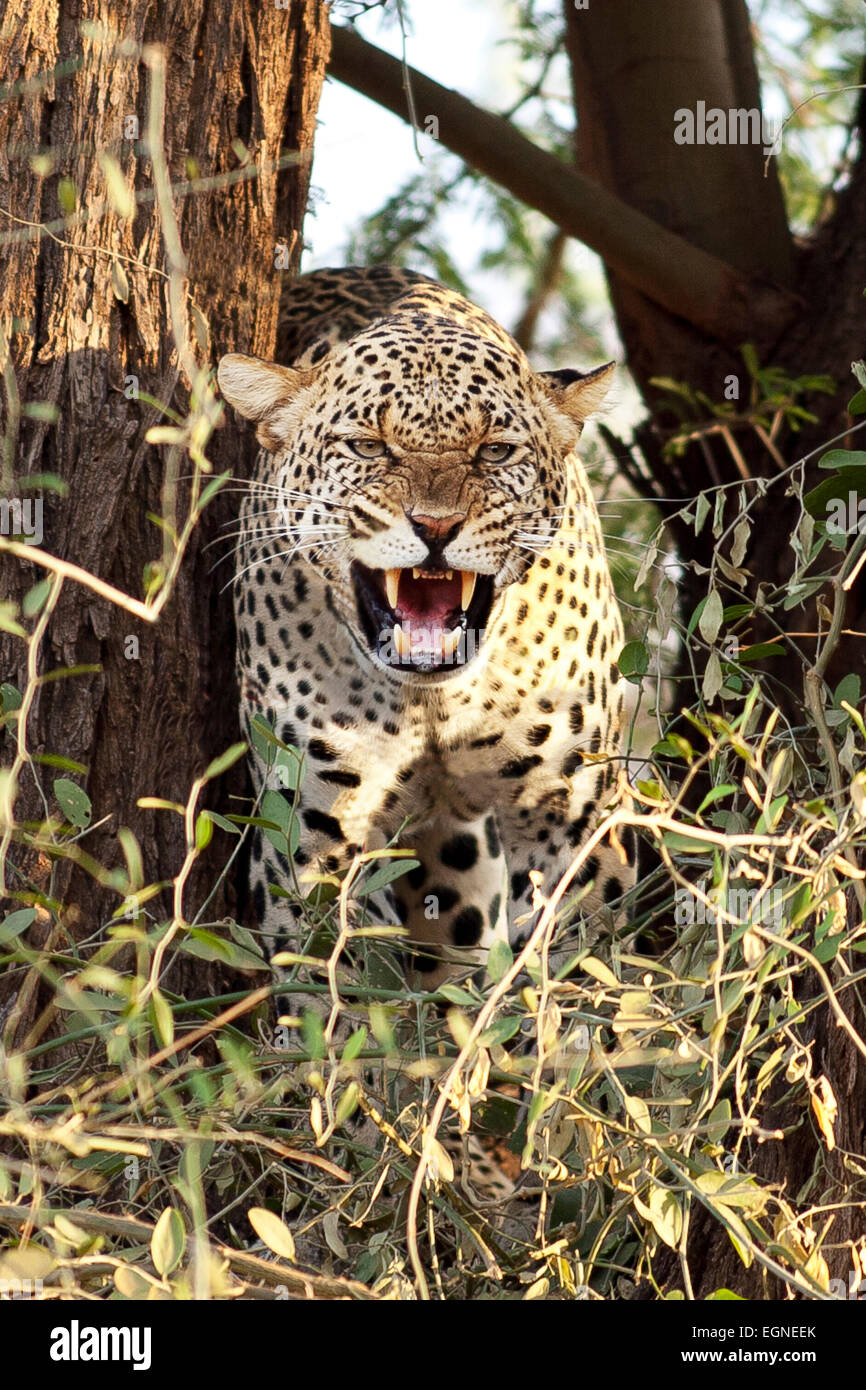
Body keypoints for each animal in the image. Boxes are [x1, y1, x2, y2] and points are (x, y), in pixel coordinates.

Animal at [217, 265, 636, 1019]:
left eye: (495, 451)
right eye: (368, 447)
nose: (436, 526)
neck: (435, 701)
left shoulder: (571, 820)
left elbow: (576, 973)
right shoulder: (314, 831)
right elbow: (325, 988)